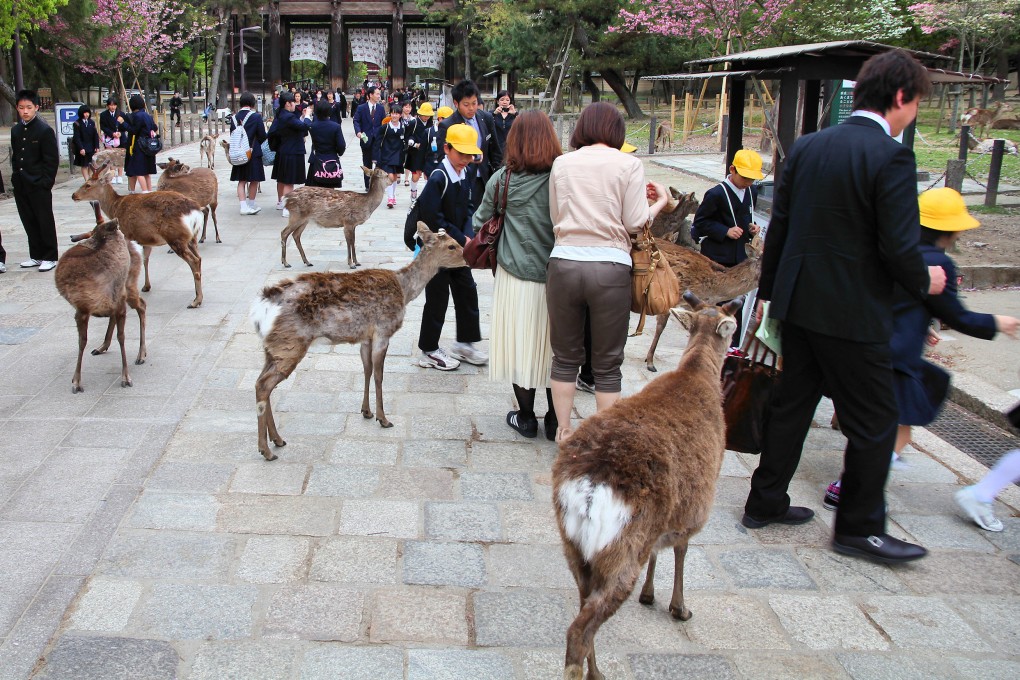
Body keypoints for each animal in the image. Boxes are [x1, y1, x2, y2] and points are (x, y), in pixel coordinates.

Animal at [54, 209, 147, 394]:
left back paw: (141, 355)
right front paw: (76, 382)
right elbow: (82, 342)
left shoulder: (120, 303)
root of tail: (134, 246)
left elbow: (122, 337)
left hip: (130, 287)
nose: (75, 238)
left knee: (142, 305)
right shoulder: (81, 309)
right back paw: (102, 347)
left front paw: (126, 378)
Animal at [71, 165, 205, 309]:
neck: (114, 207)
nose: (74, 195)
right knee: (199, 258)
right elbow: (145, 260)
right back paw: (198, 295)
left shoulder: (126, 235)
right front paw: (146, 286)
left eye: (87, 185)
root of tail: (195, 211)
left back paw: (196, 300)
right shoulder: (145, 239)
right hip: (191, 237)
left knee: (194, 260)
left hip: (175, 237)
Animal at [251, 224, 466, 461]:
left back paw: (277, 440)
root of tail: (261, 308)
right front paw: (383, 418)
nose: (468, 258)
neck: (405, 290)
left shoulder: (366, 337)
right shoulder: (383, 331)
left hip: (272, 348)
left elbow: (367, 370)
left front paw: (366, 411)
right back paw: (266, 449)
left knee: (260, 382)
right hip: (290, 344)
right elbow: (379, 375)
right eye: (452, 245)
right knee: (264, 385)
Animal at [553, 292, 742, 680]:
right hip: (623, 548)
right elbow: (681, 549)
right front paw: (679, 607)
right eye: (732, 331)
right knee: (580, 629)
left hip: (575, 547)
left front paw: (650, 594)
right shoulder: (694, 510)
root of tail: (590, 486)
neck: (697, 374)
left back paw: (598, 672)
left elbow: (659, 550)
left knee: (583, 606)